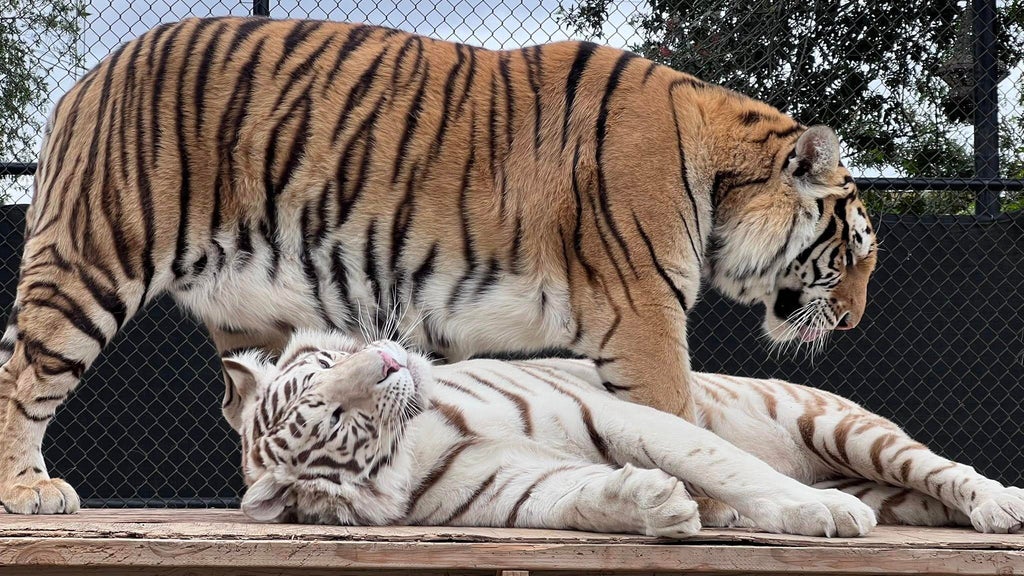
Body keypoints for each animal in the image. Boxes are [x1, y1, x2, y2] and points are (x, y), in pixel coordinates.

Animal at [0, 16, 876, 514]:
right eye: (855, 255)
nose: (856, 321)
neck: (723, 174)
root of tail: (85, 81)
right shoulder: (644, 315)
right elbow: (679, 414)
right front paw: (722, 510)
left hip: (248, 314)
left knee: (241, 404)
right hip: (91, 259)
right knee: (23, 378)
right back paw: (30, 492)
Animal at [223, 330, 1024, 536]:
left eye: (328, 365)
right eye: (333, 415)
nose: (390, 362)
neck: (421, 436)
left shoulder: (610, 409)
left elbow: (713, 455)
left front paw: (813, 510)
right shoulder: (509, 486)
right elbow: (572, 497)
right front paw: (657, 506)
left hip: (841, 426)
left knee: (941, 468)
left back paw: (1000, 505)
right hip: (885, 483)